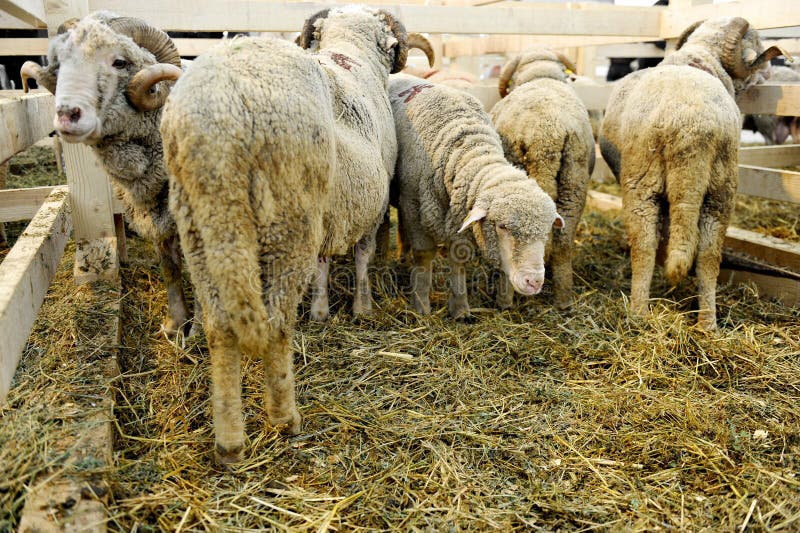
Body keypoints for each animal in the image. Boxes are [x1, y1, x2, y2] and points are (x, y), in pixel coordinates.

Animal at [20, 12, 191, 335]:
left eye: (119, 62)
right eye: (60, 62)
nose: (67, 114)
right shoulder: (156, 215)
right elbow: (169, 265)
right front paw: (176, 323)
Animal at [160, 6, 408, 463]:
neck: (352, 57)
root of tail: (221, 110)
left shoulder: (334, 212)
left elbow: (327, 264)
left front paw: (323, 311)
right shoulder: (372, 209)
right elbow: (362, 257)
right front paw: (362, 308)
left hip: (201, 223)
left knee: (220, 328)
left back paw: (229, 442)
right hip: (288, 218)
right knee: (275, 325)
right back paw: (285, 420)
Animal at [389, 74, 563, 318]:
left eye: (546, 232)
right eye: (502, 227)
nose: (534, 282)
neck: (466, 145)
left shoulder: (459, 215)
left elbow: (459, 258)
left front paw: (461, 308)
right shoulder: (413, 204)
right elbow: (424, 256)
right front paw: (421, 305)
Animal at [489, 46, 595, 309]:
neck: (541, 76)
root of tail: (546, 135)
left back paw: (504, 302)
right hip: (574, 178)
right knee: (564, 241)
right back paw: (564, 300)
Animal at [599, 17, 787, 329]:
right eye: (757, 44)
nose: (770, 72)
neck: (698, 58)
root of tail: (689, 126)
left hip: (670, 183)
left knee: (672, 249)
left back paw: (675, 318)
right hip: (706, 186)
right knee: (686, 251)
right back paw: (676, 317)